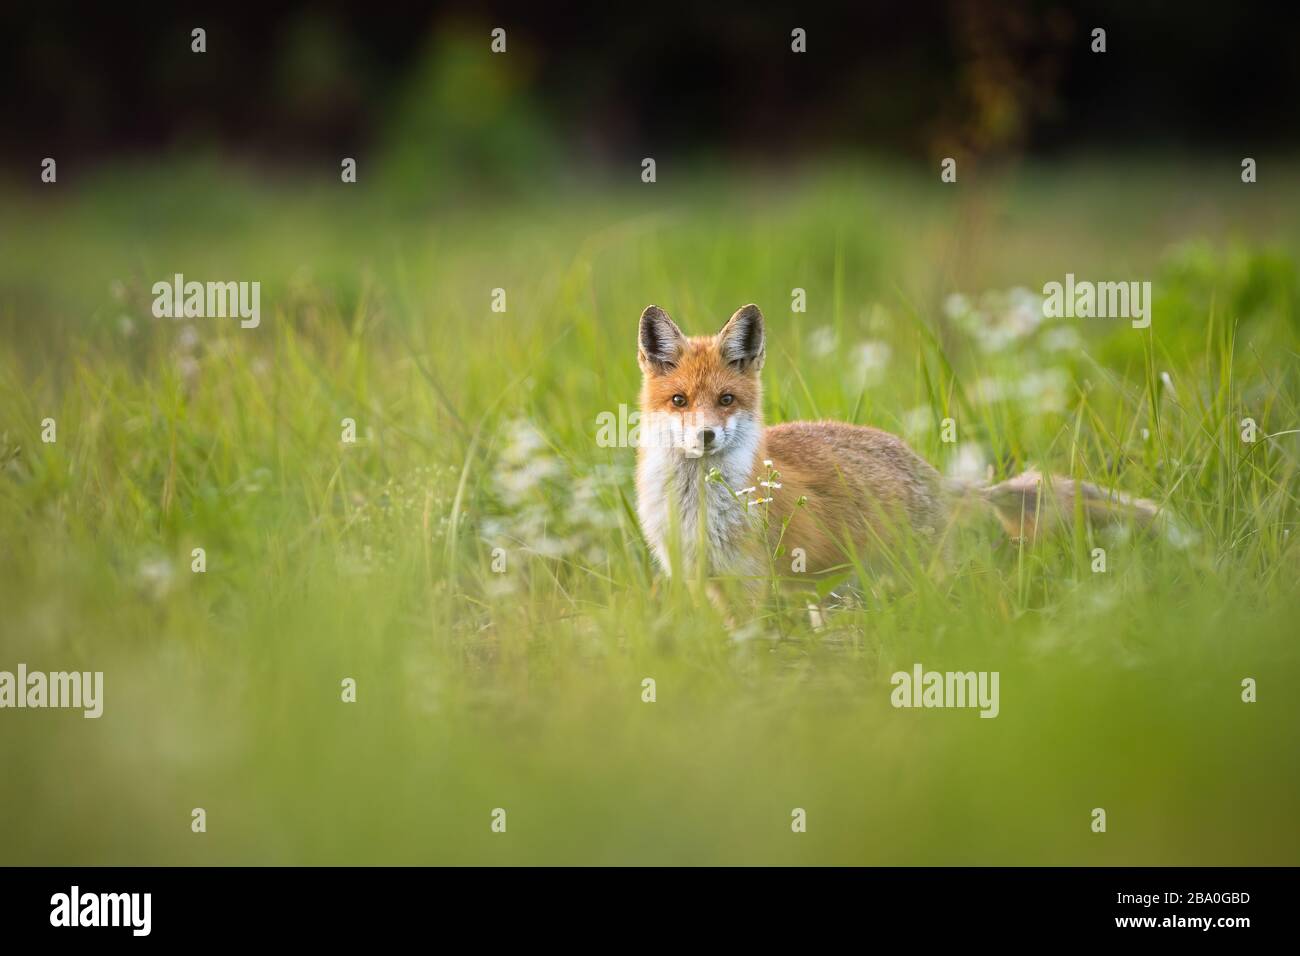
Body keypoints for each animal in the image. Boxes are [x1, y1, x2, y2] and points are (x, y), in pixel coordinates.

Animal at [634, 303, 1161, 586]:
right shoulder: (701, 583)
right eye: (680, 400)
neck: (697, 508)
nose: (705, 436)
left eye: (726, 400)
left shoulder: (752, 580)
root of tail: (930, 471)